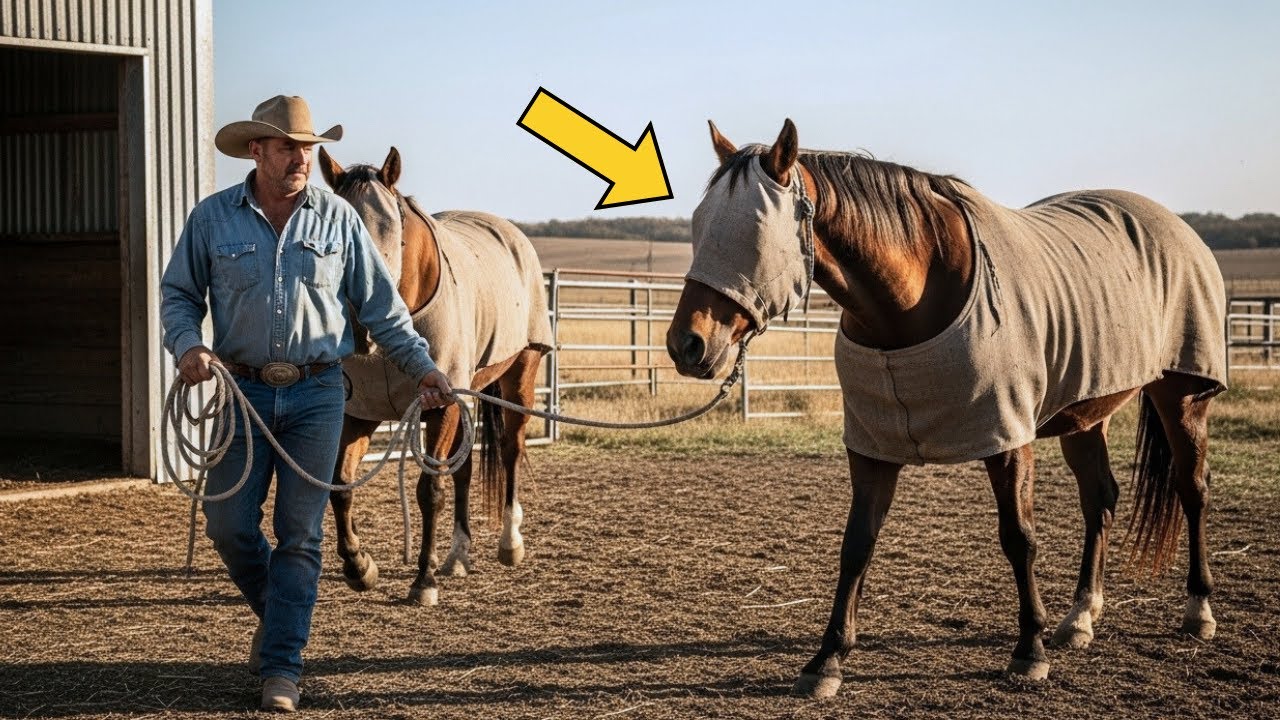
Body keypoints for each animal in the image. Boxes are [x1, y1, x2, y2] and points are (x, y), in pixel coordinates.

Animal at [318, 146, 553, 606]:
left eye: (391, 230)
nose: (357, 325)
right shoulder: (359, 411)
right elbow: (342, 485)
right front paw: (359, 566)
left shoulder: (439, 405)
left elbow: (430, 492)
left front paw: (422, 581)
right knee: (464, 466)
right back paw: (458, 555)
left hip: (519, 377)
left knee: (511, 449)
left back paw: (509, 542)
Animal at [666, 120, 1227, 697]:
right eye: (700, 223)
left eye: (754, 231)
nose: (686, 344)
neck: (913, 299)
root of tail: (1178, 227)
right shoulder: (872, 444)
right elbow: (857, 544)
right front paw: (827, 660)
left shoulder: (1008, 437)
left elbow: (1018, 538)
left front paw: (1029, 651)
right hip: (1086, 415)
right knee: (1101, 500)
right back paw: (1081, 618)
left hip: (1182, 398)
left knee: (1192, 490)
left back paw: (1198, 610)